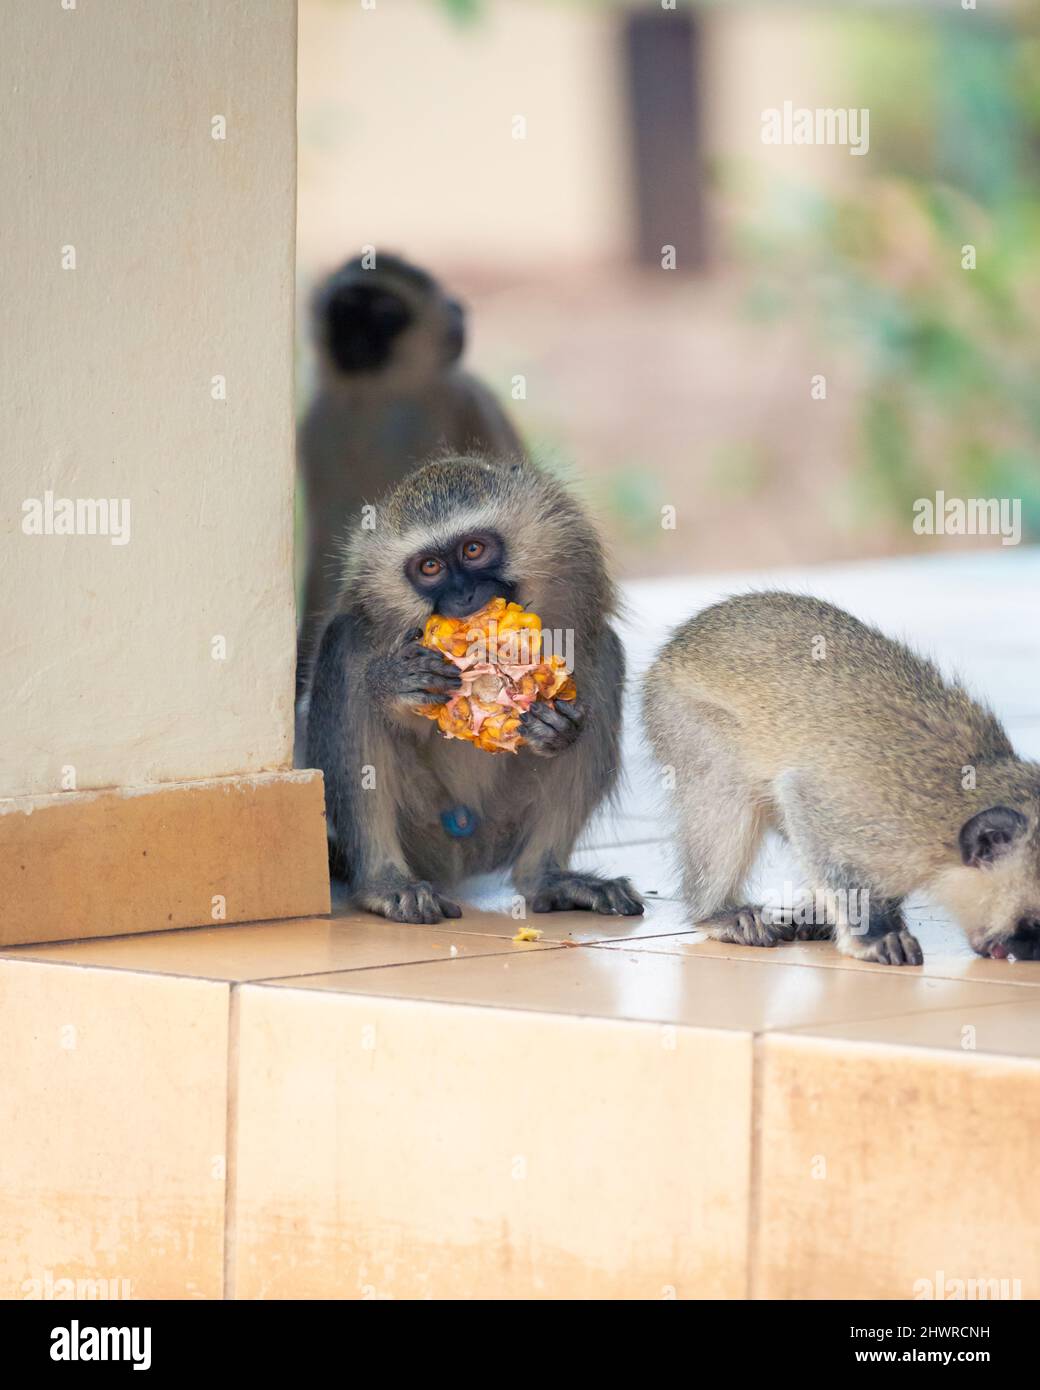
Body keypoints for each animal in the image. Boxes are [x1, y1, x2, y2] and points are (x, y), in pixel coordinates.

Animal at [297, 252, 524, 693]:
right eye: (345, 310)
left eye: (386, 315)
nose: (354, 336)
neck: (377, 401)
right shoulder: (317, 429)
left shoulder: (461, 403)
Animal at [305, 452, 643, 924]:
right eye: (430, 567)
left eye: (473, 550)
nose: (464, 597)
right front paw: (394, 681)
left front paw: (559, 728)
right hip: (425, 828)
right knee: (343, 649)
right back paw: (383, 883)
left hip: (500, 825)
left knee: (605, 653)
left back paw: (545, 877)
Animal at [643, 592, 1040, 966]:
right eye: (1033, 923)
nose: (1029, 952)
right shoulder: (884, 824)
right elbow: (800, 798)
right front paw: (872, 935)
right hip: (679, 713)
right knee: (724, 784)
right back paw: (716, 913)